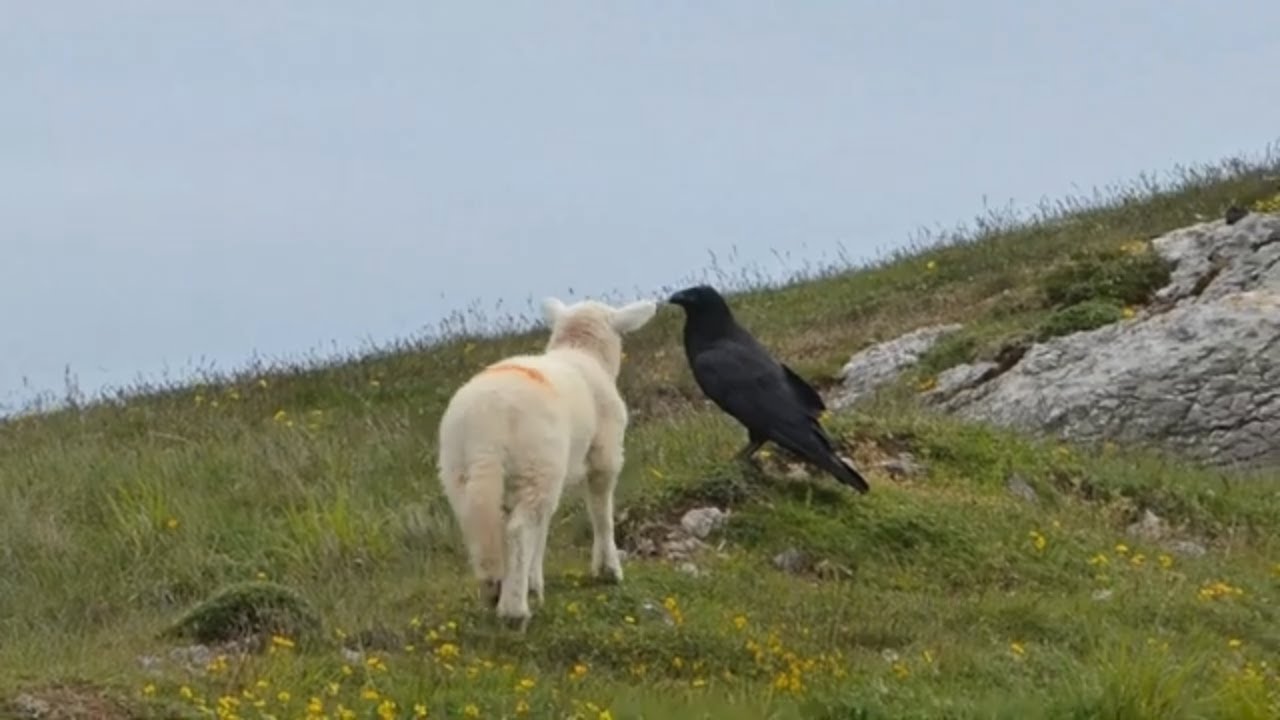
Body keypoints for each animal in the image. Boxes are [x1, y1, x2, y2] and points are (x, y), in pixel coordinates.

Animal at [436, 295, 658, 628]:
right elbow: (601, 513)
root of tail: (487, 423)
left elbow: (542, 529)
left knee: (486, 525)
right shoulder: (604, 454)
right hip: (536, 463)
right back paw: (514, 611)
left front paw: (532, 583)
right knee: (519, 529)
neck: (581, 353)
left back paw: (495, 591)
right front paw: (609, 570)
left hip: (461, 469)